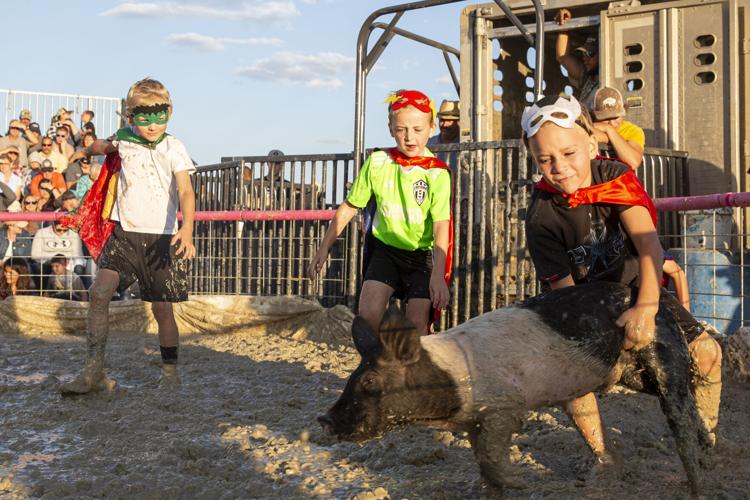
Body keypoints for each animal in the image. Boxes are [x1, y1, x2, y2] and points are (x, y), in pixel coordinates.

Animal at [318, 281, 712, 494]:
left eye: (370, 381)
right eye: (352, 377)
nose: (324, 420)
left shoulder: (505, 409)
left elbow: (495, 457)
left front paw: (519, 481)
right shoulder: (475, 423)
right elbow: (482, 462)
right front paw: (493, 490)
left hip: (661, 353)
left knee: (680, 412)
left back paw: (697, 483)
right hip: (630, 373)